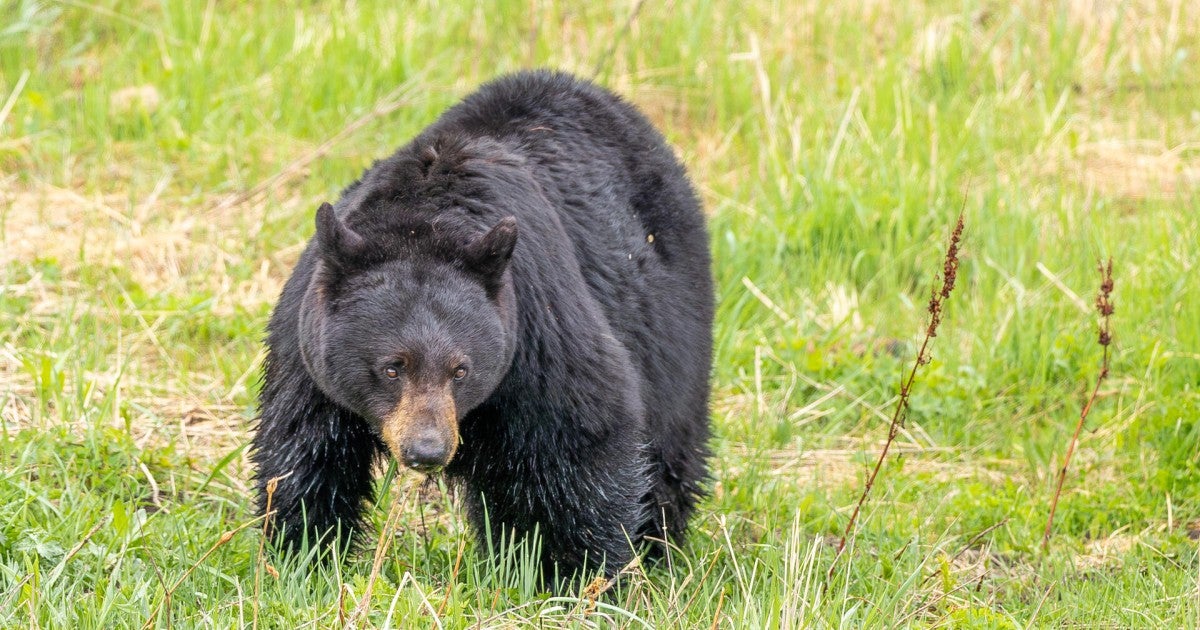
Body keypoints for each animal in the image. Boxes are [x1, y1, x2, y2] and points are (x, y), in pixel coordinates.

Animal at [251, 70, 713, 583]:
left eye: (461, 369)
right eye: (391, 367)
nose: (427, 450)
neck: (424, 222)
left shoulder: (540, 333)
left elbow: (585, 443)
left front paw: (580, 575)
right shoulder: (307, 354)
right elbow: (306, 453)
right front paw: (301, 558)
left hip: (670, 319)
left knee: (670, 443)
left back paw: (657, 546)